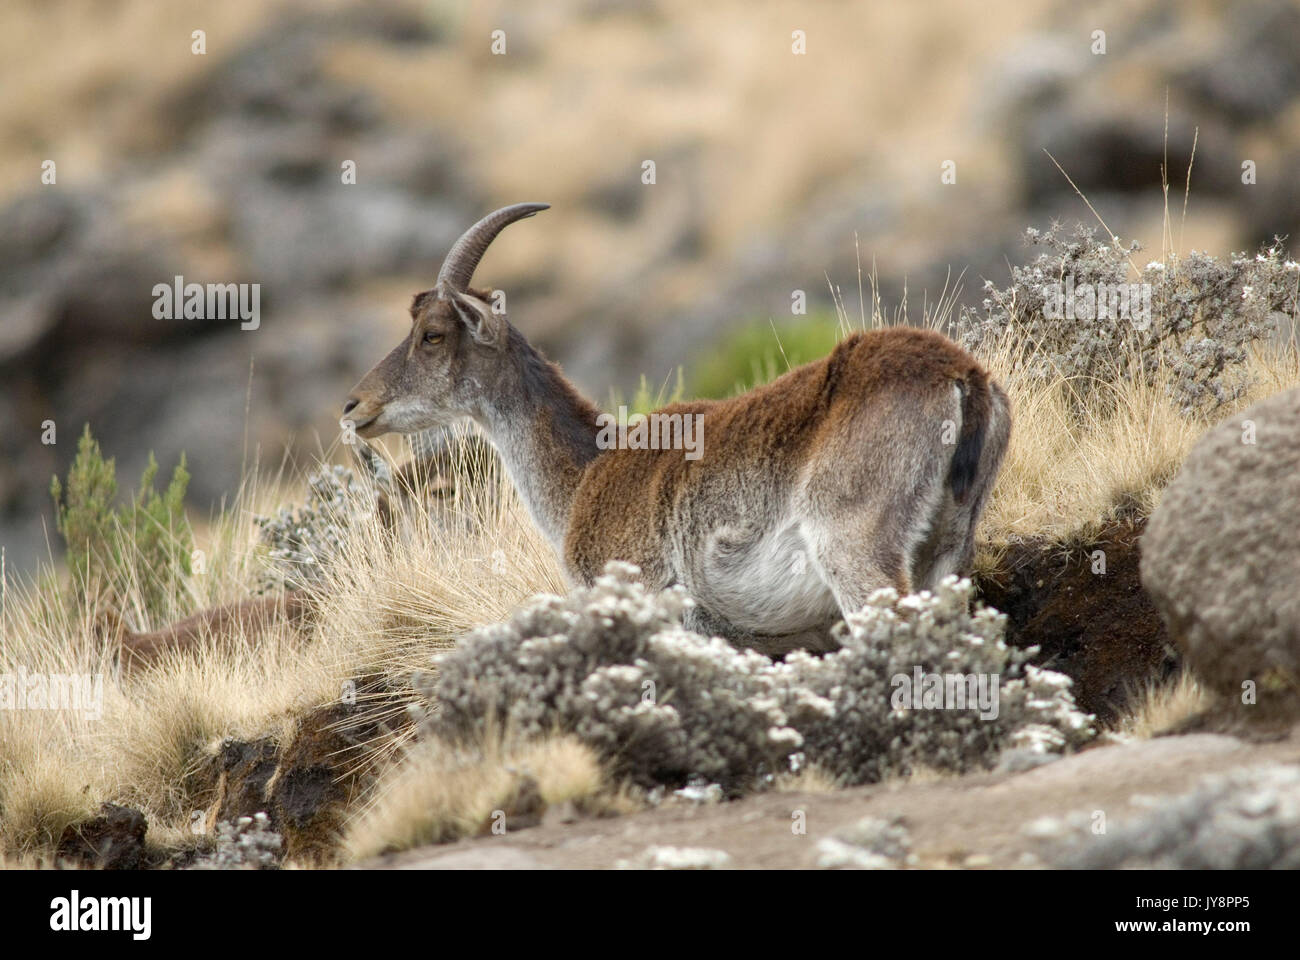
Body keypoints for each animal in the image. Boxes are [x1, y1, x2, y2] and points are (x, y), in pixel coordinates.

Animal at [344, 203, 1011, 654]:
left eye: (432, 334)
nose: (354, 406)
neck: (585, 474)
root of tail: (962, 378)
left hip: (855, 545)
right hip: (948, 549)